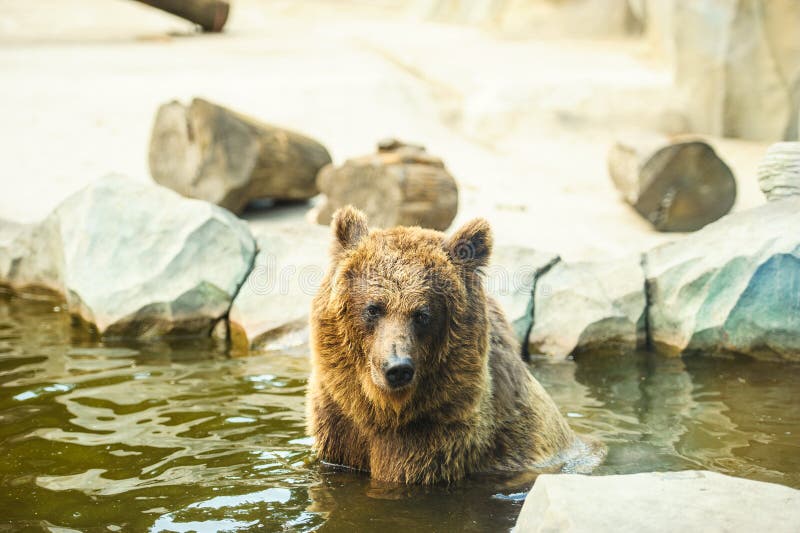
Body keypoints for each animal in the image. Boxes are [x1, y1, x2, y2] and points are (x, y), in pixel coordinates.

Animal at [307, 206, 605, 484]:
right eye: (373, 308)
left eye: (422, 314)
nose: (397, 368)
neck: (383, 411)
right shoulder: (339, 429)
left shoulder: (439, 439)